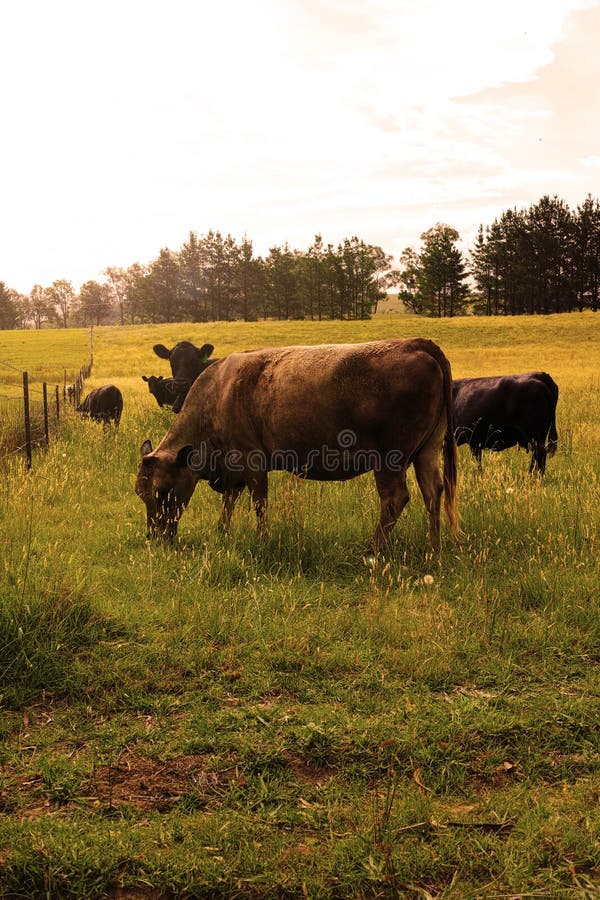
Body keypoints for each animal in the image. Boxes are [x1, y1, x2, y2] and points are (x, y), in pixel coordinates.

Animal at [135, 338, 458, 558]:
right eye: (141, 493)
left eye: (163, 491)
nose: (155, 536)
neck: (217, 393)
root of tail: (415, 344)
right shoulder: (232, 468)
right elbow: (229, 502)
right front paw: (222, 533)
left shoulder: (252, 460)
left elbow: (259, 504)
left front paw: (261, 541)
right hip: (427, 450)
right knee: (433, 492)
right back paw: (434, 548)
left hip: (390, 458)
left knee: (394, 499)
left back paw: (370, 552)